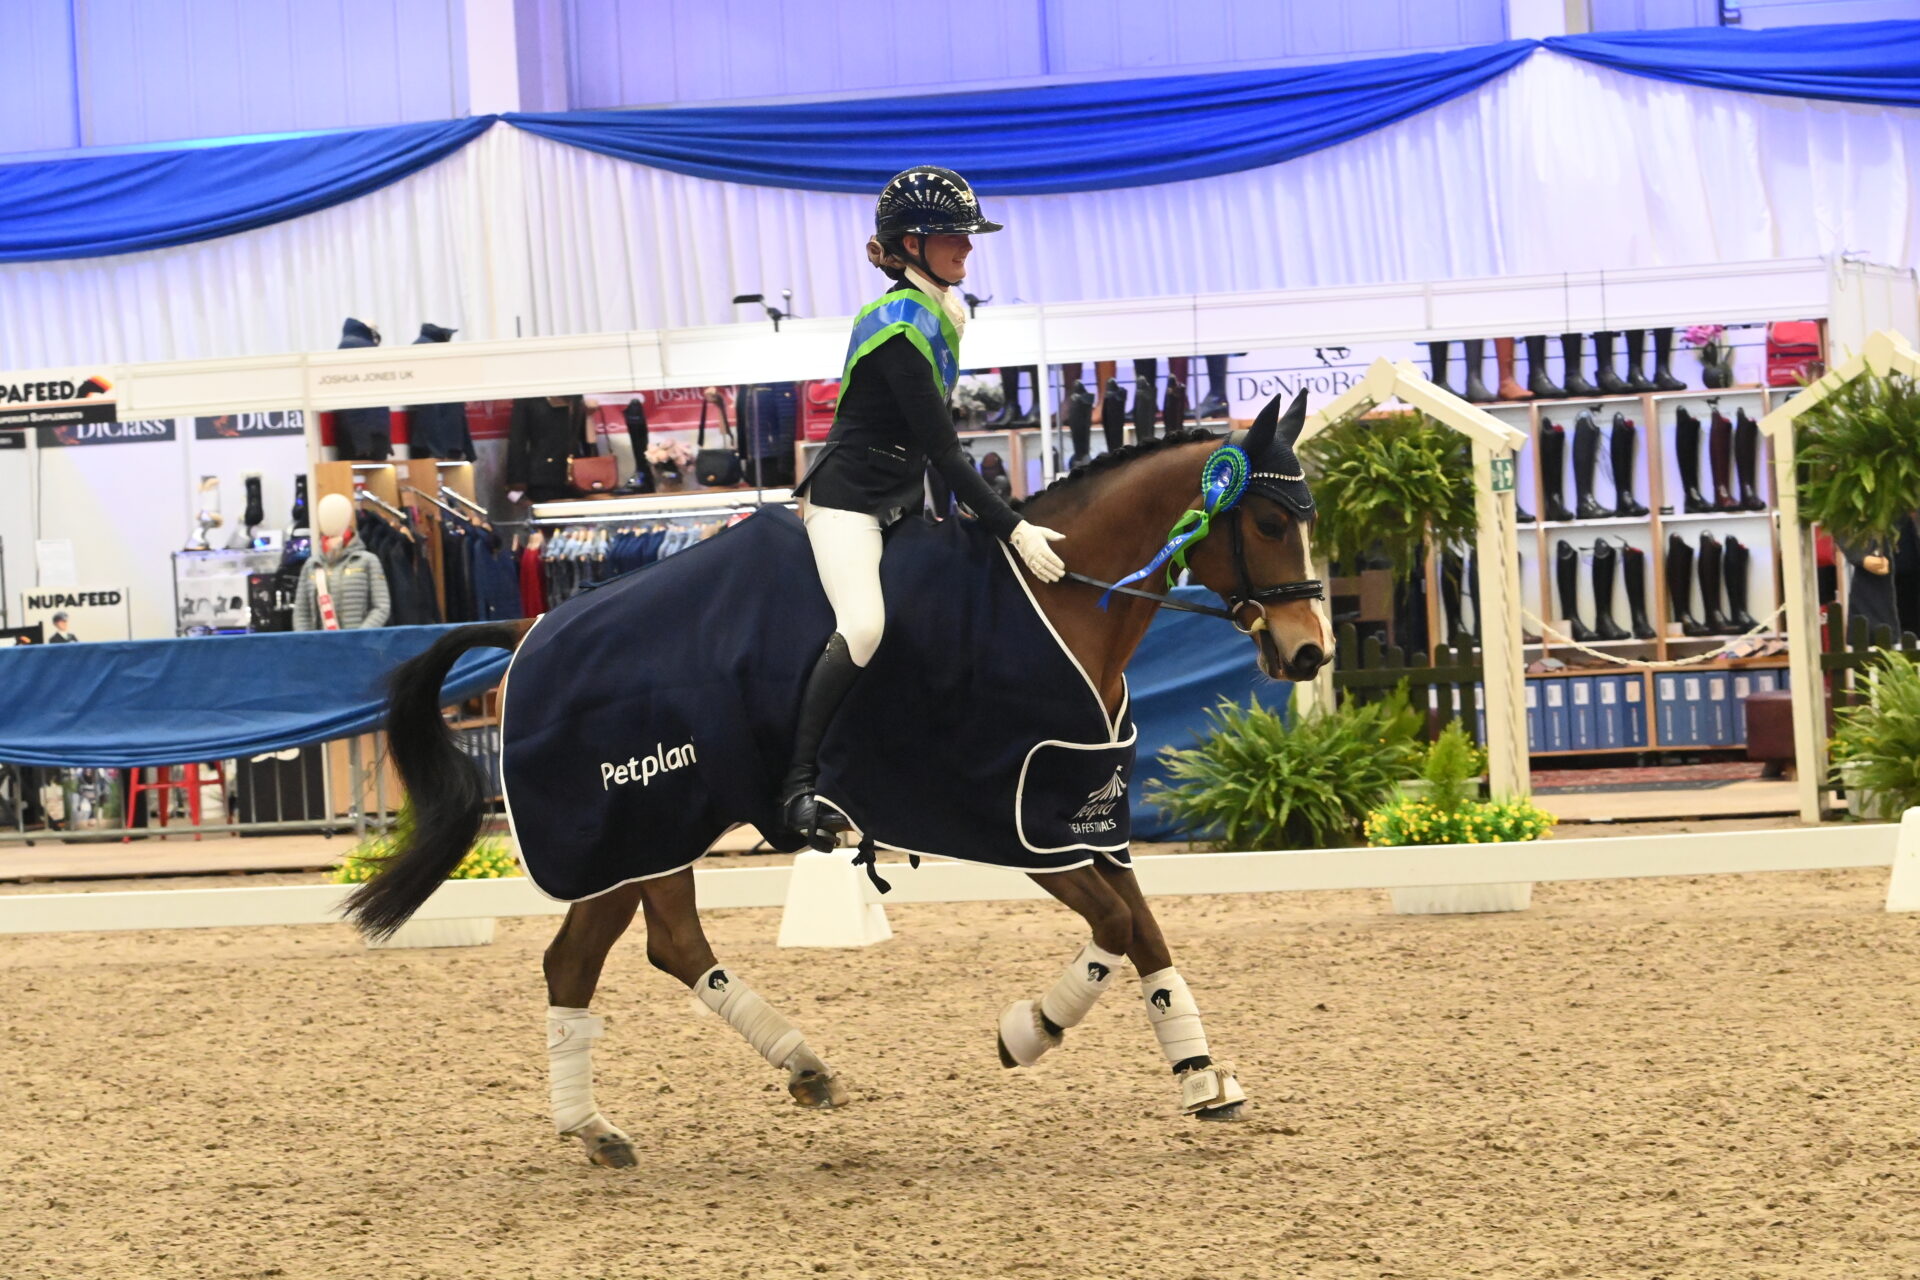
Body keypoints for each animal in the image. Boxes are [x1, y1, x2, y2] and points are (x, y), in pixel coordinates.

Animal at [342, 390, 1330, 1168]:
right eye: (1269, 523)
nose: (1309, 653)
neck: (1058, 604)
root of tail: (531, 635)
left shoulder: (1079, 811)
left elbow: (1146, 932)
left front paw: (1198, 1074)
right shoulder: (1012, 819)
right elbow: (1118, 927)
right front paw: (1030, 1031)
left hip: (660, 832)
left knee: (661, 945)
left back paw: (789, 1069)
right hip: (625, 829)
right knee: (578, 960)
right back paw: (596, 1125)